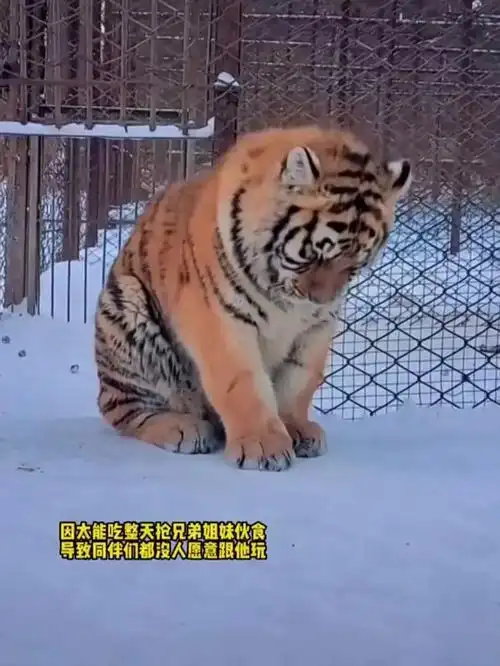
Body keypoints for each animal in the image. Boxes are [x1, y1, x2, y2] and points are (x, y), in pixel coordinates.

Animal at [94, 124, 412, 472]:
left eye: (355, 265)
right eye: (315, 255)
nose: (320, 300)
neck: (286, 299)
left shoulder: (316, 328)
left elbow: (299, 380)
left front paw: (296, 429)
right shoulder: (220, 317)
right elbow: (241, 382)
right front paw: (264, 446)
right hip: (127, 306)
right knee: (123, 408)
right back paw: (183, 428)